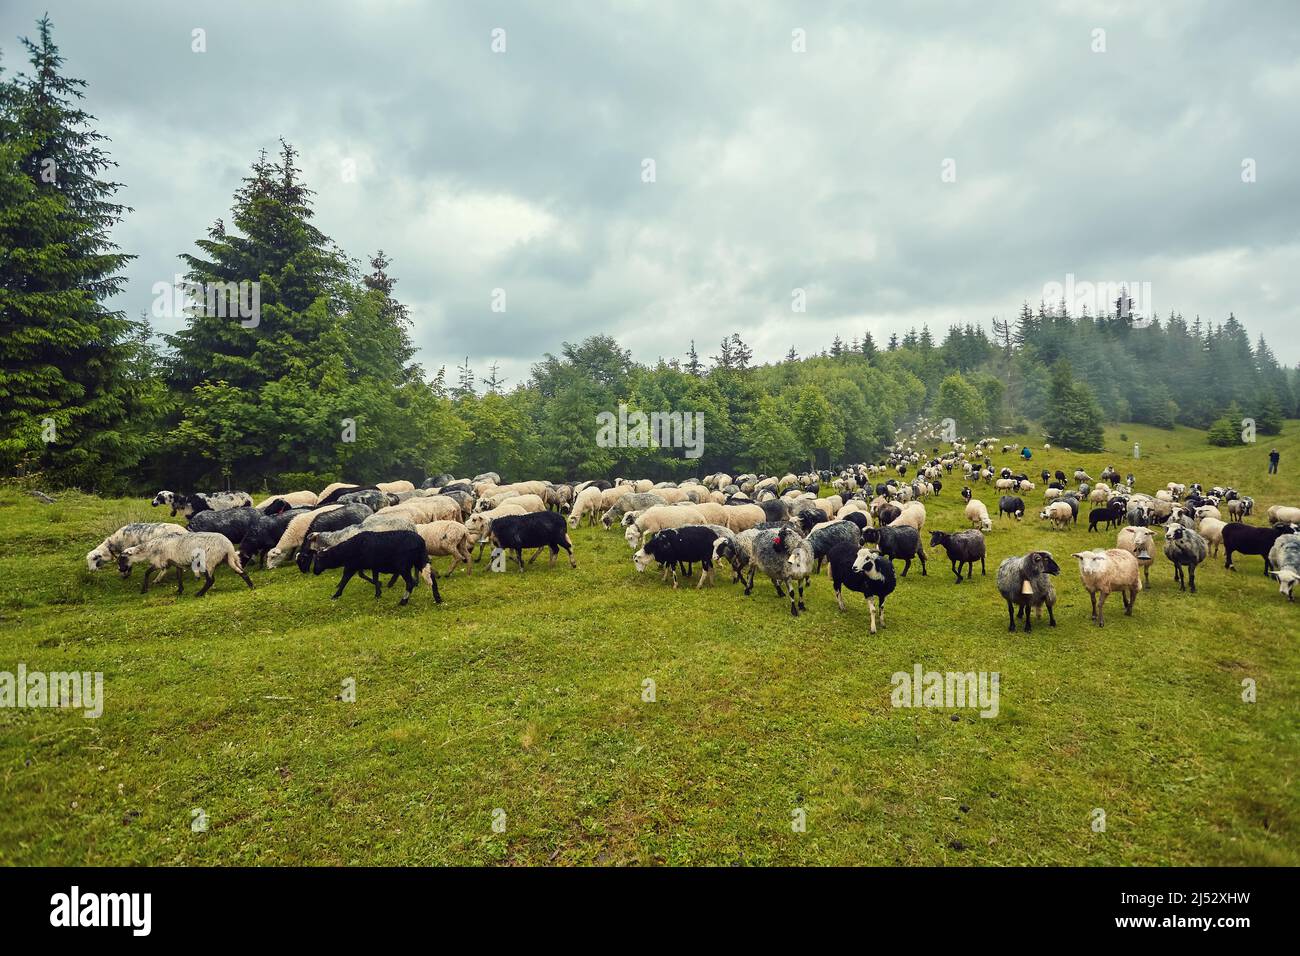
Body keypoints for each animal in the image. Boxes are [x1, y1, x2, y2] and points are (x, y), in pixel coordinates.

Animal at [118, 531, 253, 597]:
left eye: (122, 559)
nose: (120, 569)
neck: (150, 548)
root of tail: (228, 546)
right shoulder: (176, 562)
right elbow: (179, 576)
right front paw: (179, 591)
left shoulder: (161, 562)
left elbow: (147, 572)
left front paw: (143, 590)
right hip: (229, 559)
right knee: (242, 572)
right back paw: (251, 587)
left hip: (208, 561)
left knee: (210, 580)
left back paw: (199, 594)